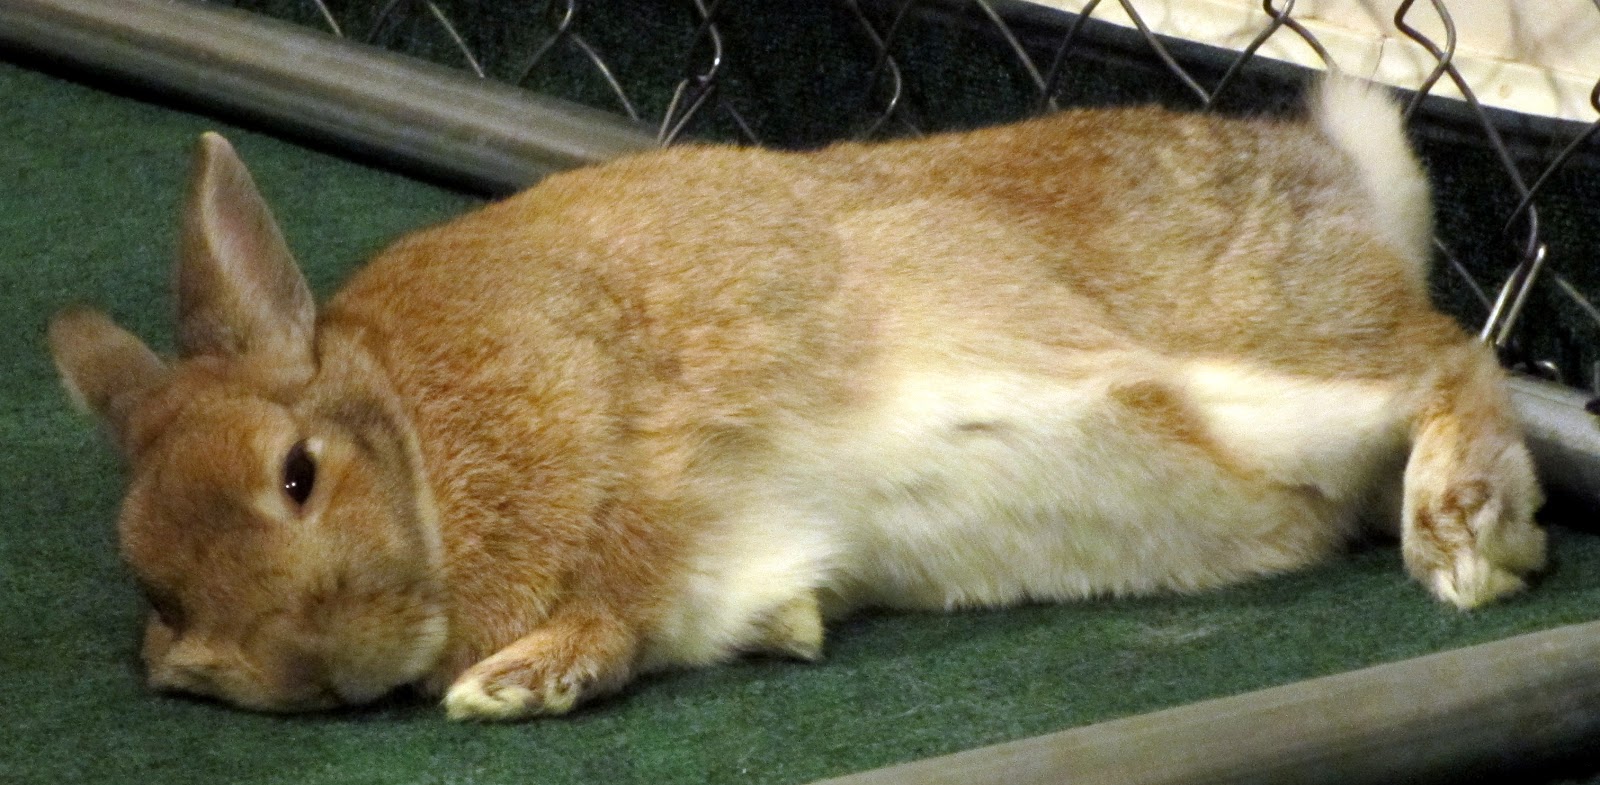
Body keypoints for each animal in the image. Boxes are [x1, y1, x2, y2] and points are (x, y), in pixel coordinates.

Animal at [48, 77, 1545, 722]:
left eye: (297, 475)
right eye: (159, 592)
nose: (305, 675)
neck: (417, 437)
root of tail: (1348, 190)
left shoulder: (641, 453)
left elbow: (612, 575)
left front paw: (509, 680)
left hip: (1272, 358)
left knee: (1453, 361)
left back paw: (1469, 528)